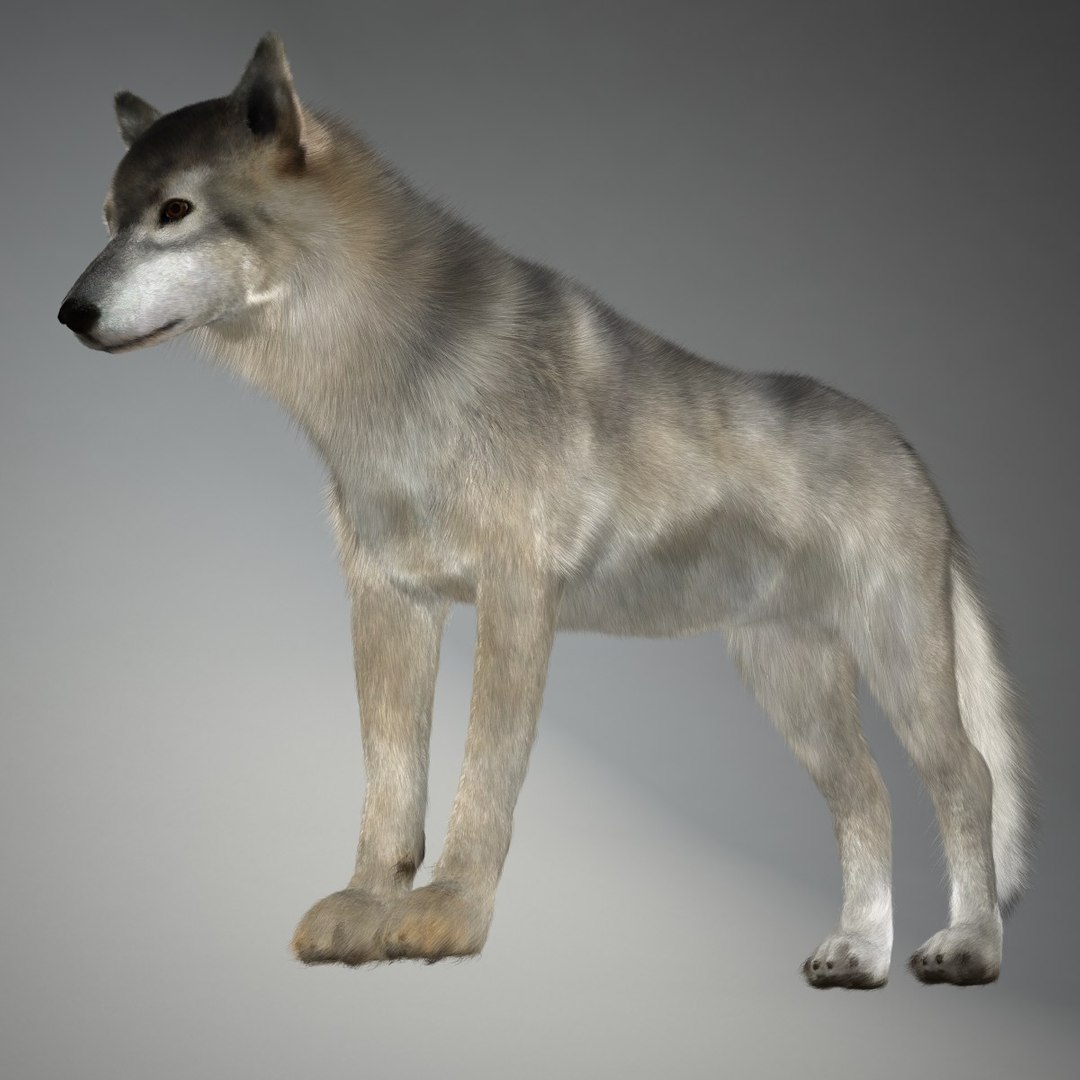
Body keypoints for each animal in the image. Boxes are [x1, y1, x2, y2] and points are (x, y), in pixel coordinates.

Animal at [58, 34, 1037, 989]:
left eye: (175, 212)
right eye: (107, 219)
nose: (69, 312)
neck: (388, 381)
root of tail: (908, 449)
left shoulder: (516, 595)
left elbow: (483, 781)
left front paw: (447, 915)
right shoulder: (389, 601)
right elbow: (390, 788)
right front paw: (365, 910)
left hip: (896, 660)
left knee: (969, 780)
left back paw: (969, 949)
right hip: (789, 683)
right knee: (868, 798)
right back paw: (858, 954)